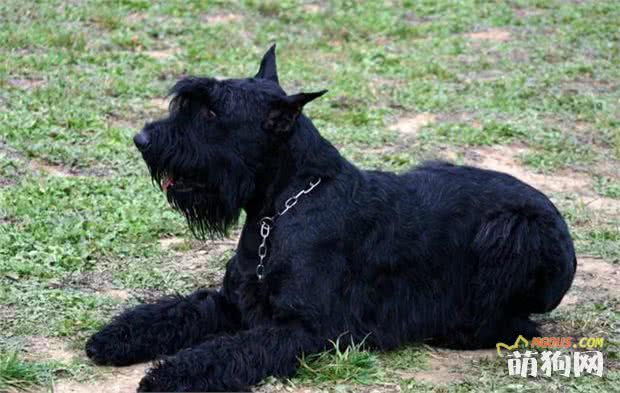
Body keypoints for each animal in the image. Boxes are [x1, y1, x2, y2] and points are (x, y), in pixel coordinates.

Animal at [86, 45, 576, 388]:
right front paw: (114, 337)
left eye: (211, 111)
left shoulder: (304, 327)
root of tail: (560, 222)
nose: (142, 138)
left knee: (519, 323)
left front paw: (168, 374)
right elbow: (174, 312)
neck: (278, 210)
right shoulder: (233, 301)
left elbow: (225, 350)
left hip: (514, 230)